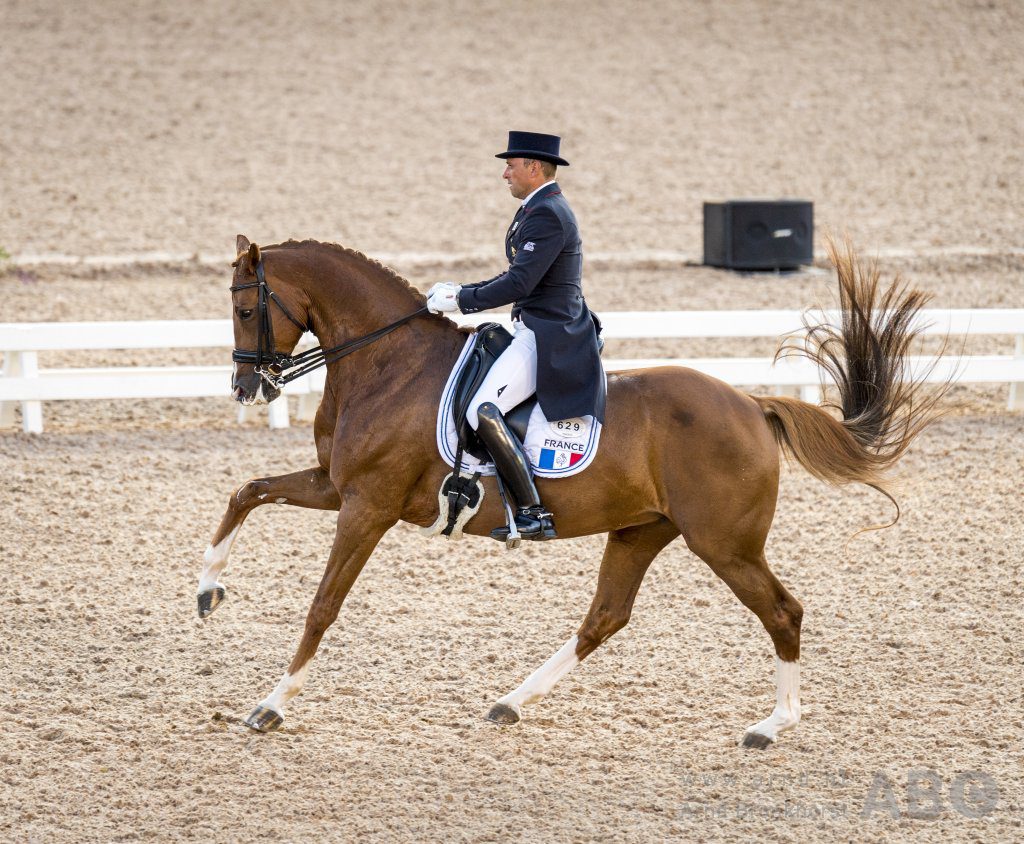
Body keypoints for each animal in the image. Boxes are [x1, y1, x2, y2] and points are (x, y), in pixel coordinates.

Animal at [197, 234, 947, 747]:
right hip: (643, 529)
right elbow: (247, 491)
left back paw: (772, 724)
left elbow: (322, 607)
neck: (389, 365)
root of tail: (750, 403)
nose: (246, 387)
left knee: (783, 612)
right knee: (605, 618)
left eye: (244, 307)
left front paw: (271, 705)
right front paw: (207, 590)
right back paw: (511, 701)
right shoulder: (336, 487)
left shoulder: (367, 506)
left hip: (724, 544)